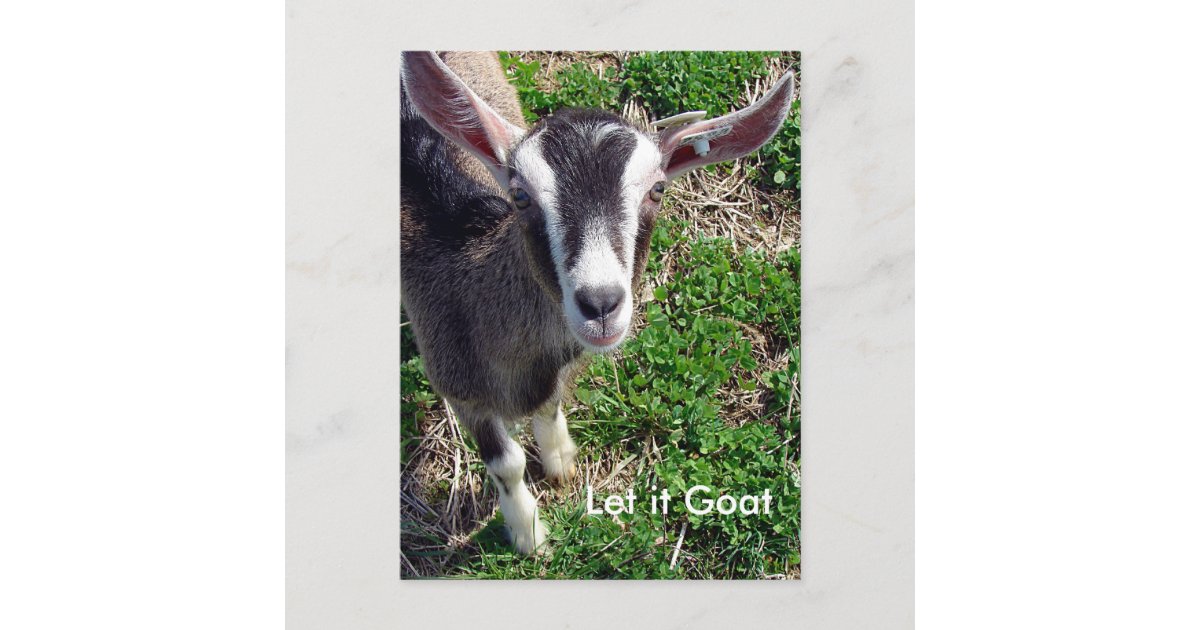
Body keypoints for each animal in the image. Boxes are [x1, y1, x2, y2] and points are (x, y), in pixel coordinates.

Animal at [400, 51, 794, 554]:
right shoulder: (460, 388)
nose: (601, 304)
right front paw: (529, 534)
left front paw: (559, 459)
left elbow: (550, 406)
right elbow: (506, 463)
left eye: (657, 190)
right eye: (520, 195)